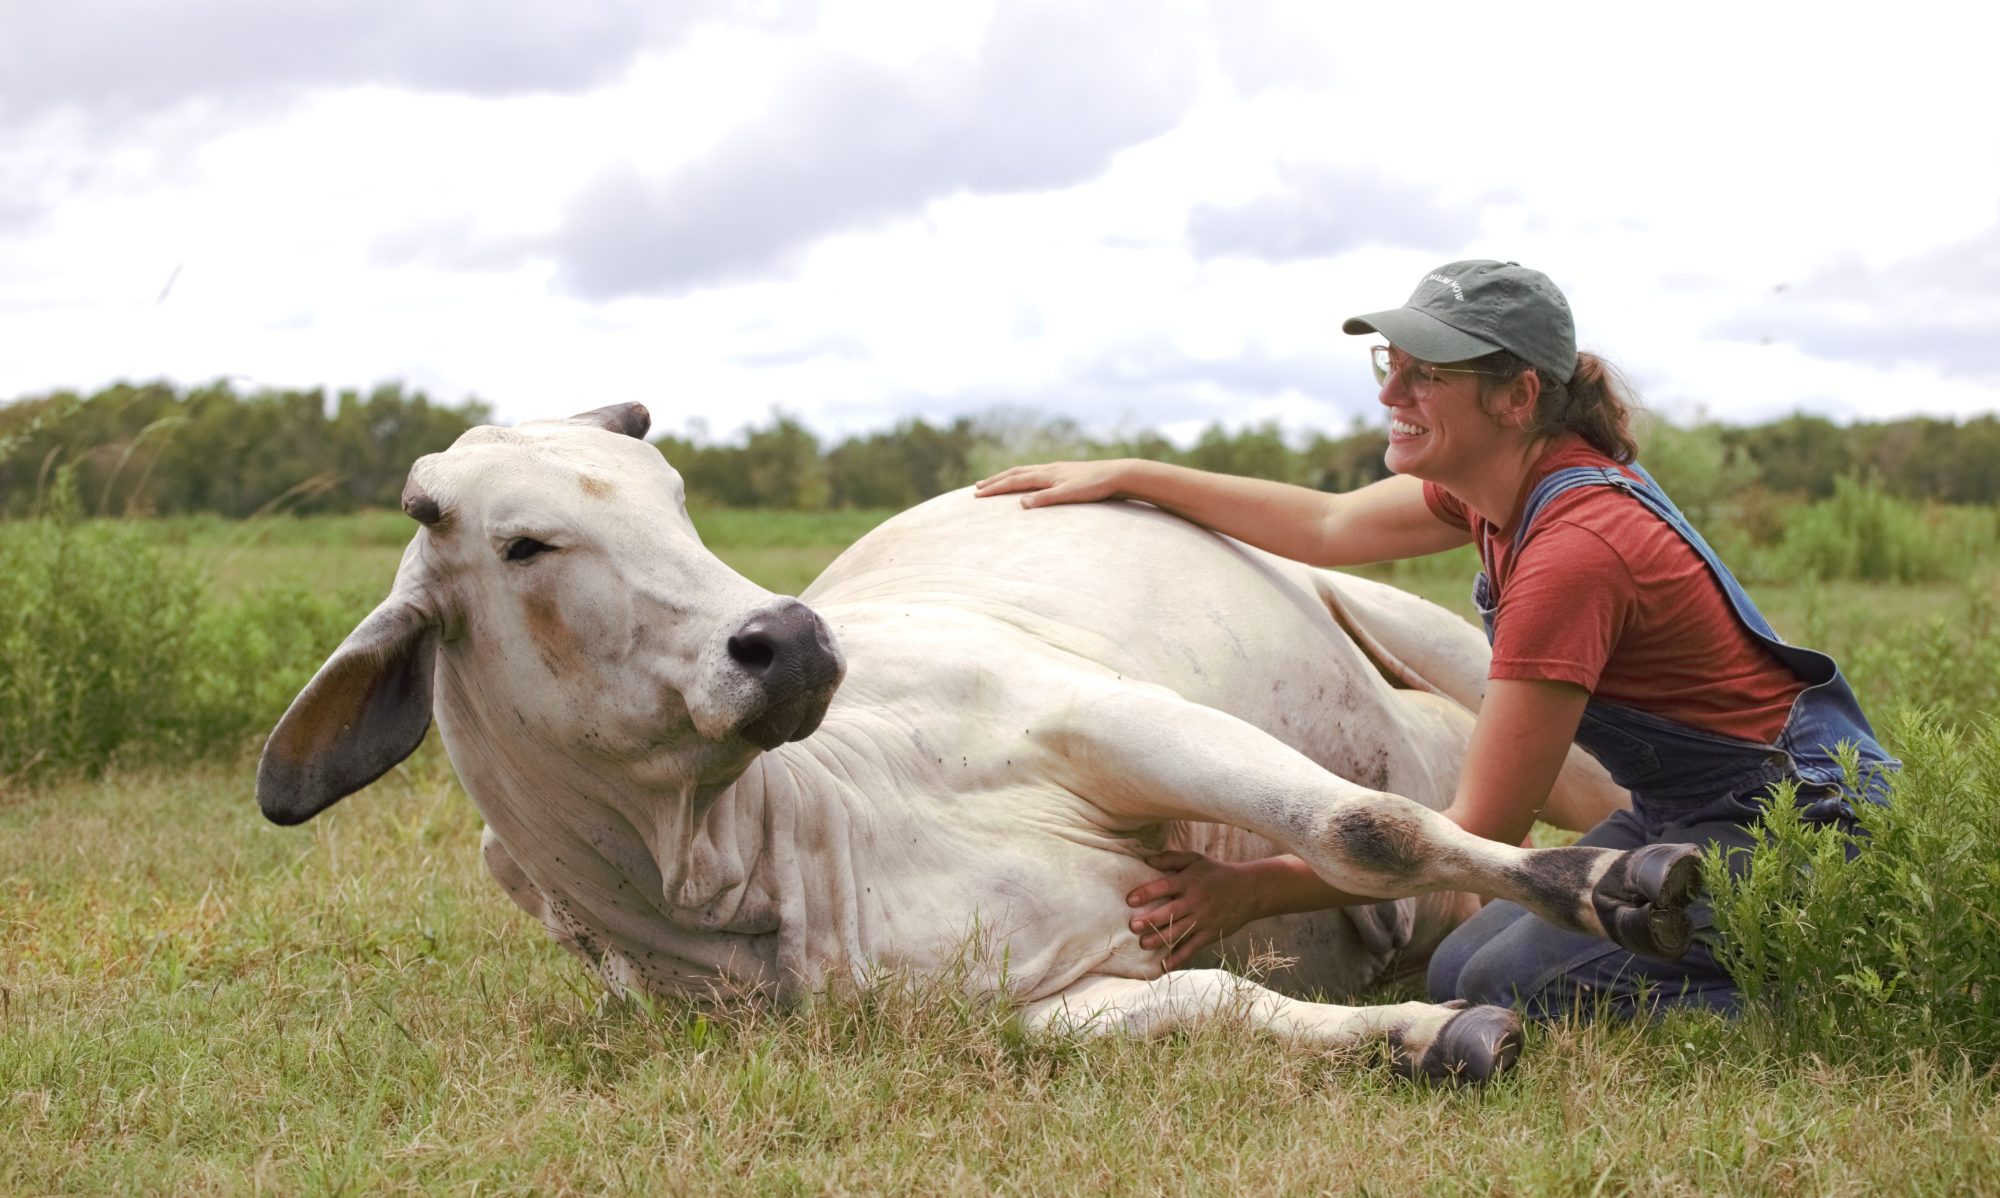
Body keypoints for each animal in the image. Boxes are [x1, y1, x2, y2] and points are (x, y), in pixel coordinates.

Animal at [257, 403, 1698, 1083]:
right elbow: (1217, 998)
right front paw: (1433, 1034)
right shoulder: (1050, 1005)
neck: (772, 857)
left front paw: (1613, 889)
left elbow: (1365, 826)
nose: (786, 638)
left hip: (1455, 645)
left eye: (675, 500)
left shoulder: (1103, 714)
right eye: (523, 543)